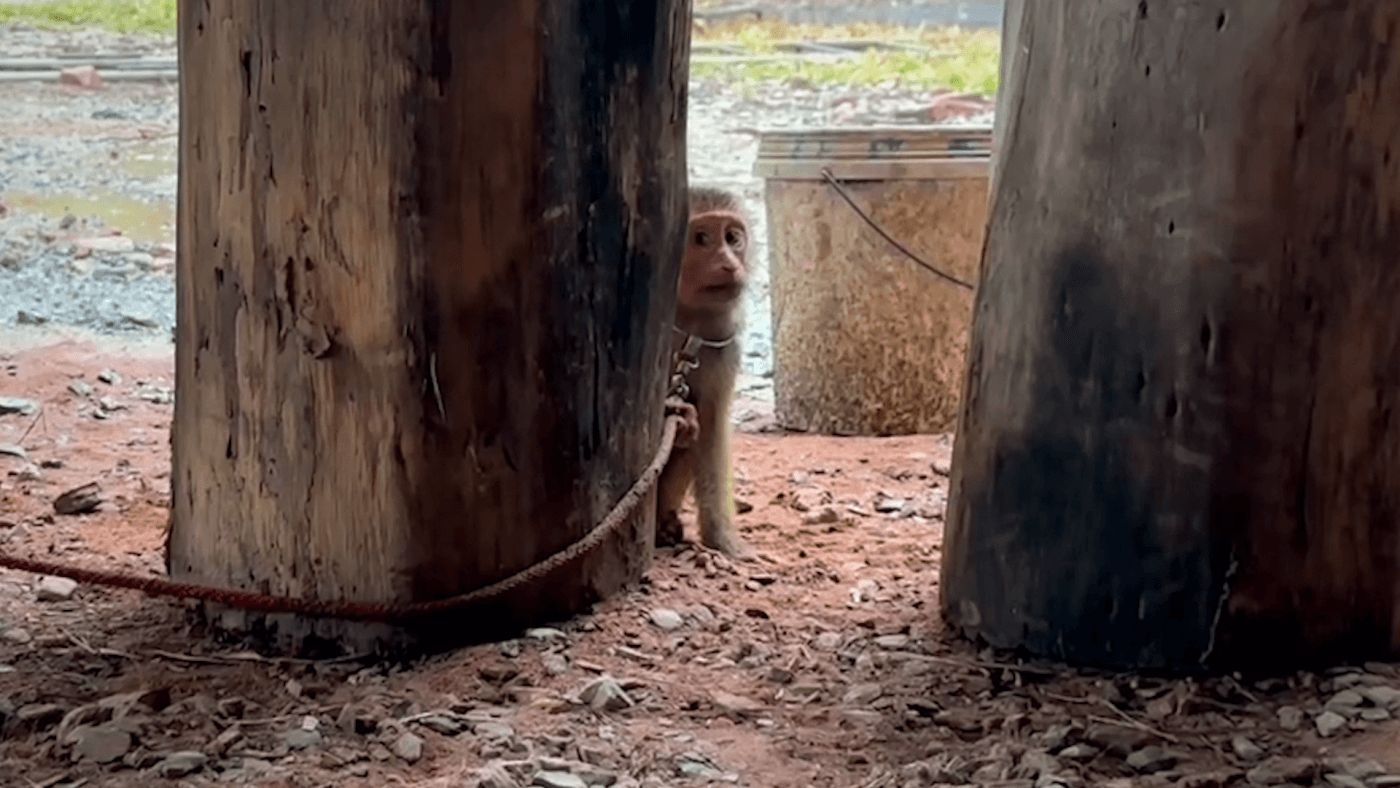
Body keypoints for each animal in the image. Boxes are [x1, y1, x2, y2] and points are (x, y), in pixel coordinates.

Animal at [656, 186, 754, 560]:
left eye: (732, 238)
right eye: (701, 238)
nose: (729, 264)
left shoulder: (724, 347)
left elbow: (710, 428)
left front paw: (722, 539)